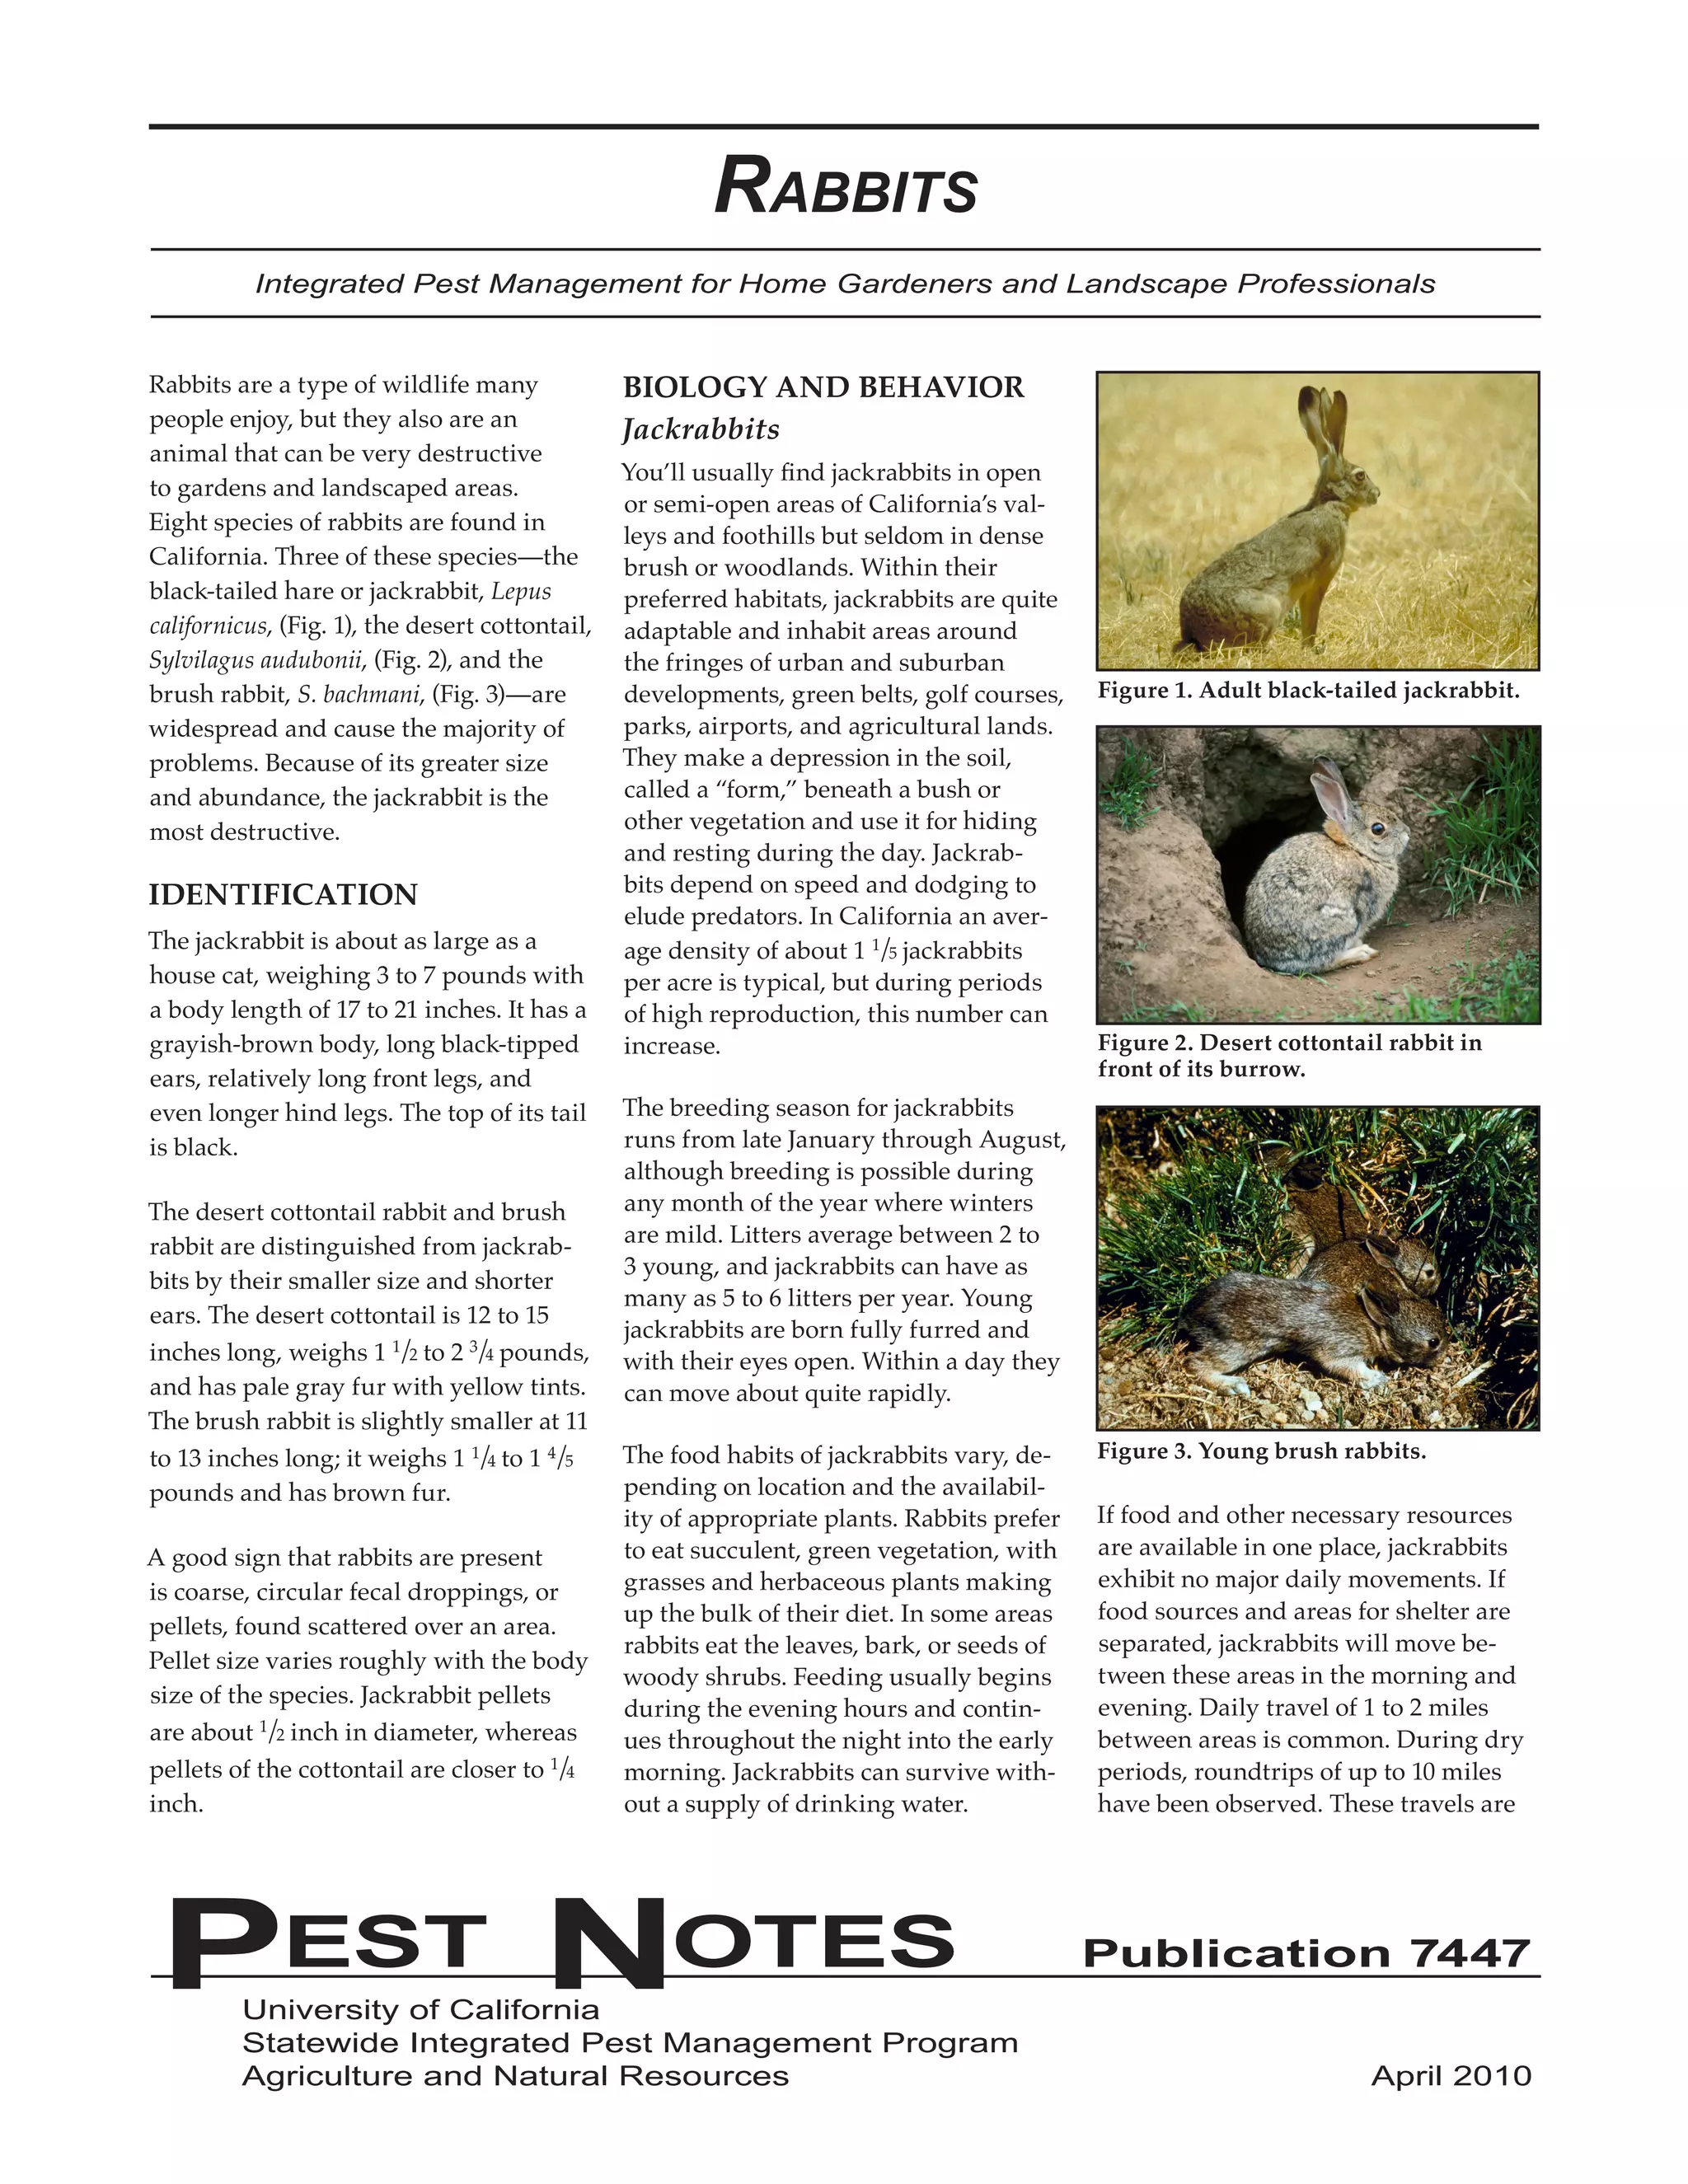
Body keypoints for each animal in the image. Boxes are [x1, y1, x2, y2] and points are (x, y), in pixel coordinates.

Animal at [1177, 385, 1380, 652]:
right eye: (1360, 476)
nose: (1377, 494)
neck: (1330, 502)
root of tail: (1191, 633)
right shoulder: (1319, 581)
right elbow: (1311, 618)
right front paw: (1311, 648)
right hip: (1267, 610)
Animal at [1180, 1273, 1447, 1396]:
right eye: (1433, 1342)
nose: (1443, 1356)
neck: (1375, 1328)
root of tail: (1192, 1312)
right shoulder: (1341, 1351)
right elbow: (1350, 1368)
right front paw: (1378, 1379)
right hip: (1235, 1346)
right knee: (1195, 1363)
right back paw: (1234, 1386)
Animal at [1243, 758, 1408, 973]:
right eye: (1378, 829)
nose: (1407, 834)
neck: (1356, 850)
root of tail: (1273, 959)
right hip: (1342, 920)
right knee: (1324, 961)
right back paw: (1361, 953)